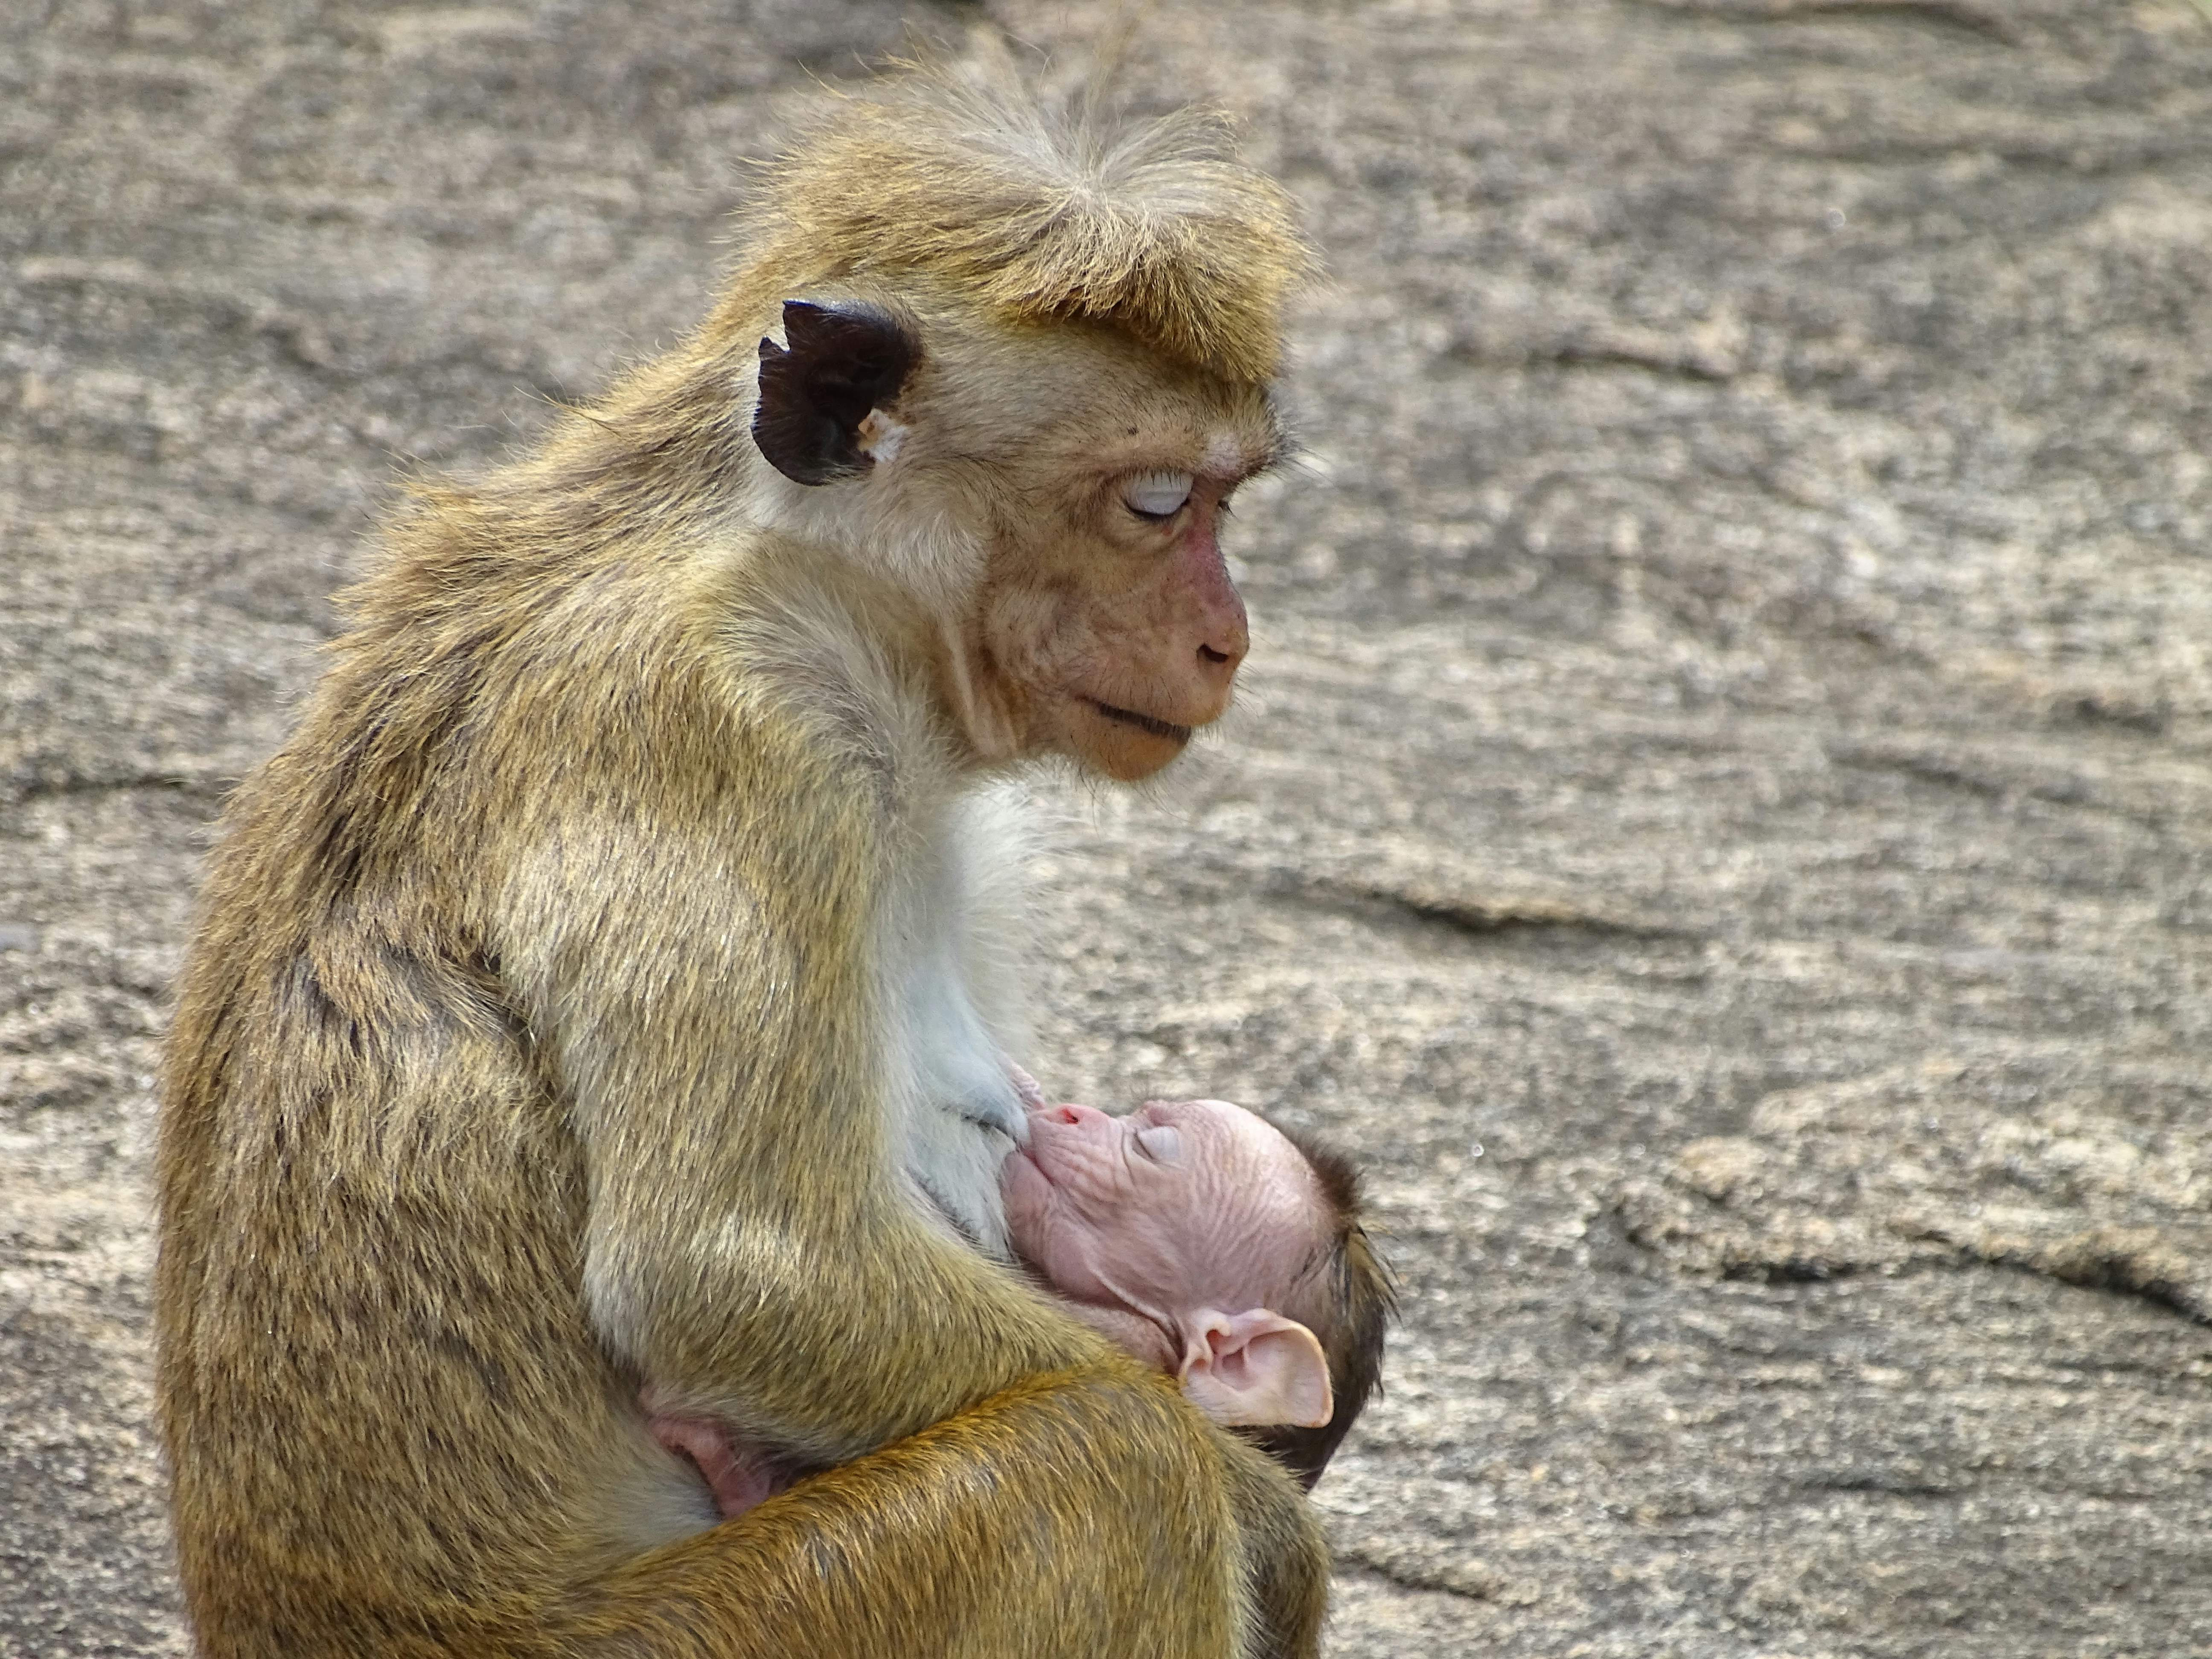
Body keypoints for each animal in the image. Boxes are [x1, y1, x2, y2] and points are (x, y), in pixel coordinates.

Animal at [155, 52, 1338, 1659]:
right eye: (1157, 503)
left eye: (1225, 499)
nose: (1228, 639)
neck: (802, 577)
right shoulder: (730, 731)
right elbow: (736, 1265)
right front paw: (1270, 1519)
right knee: (1116, 1463)